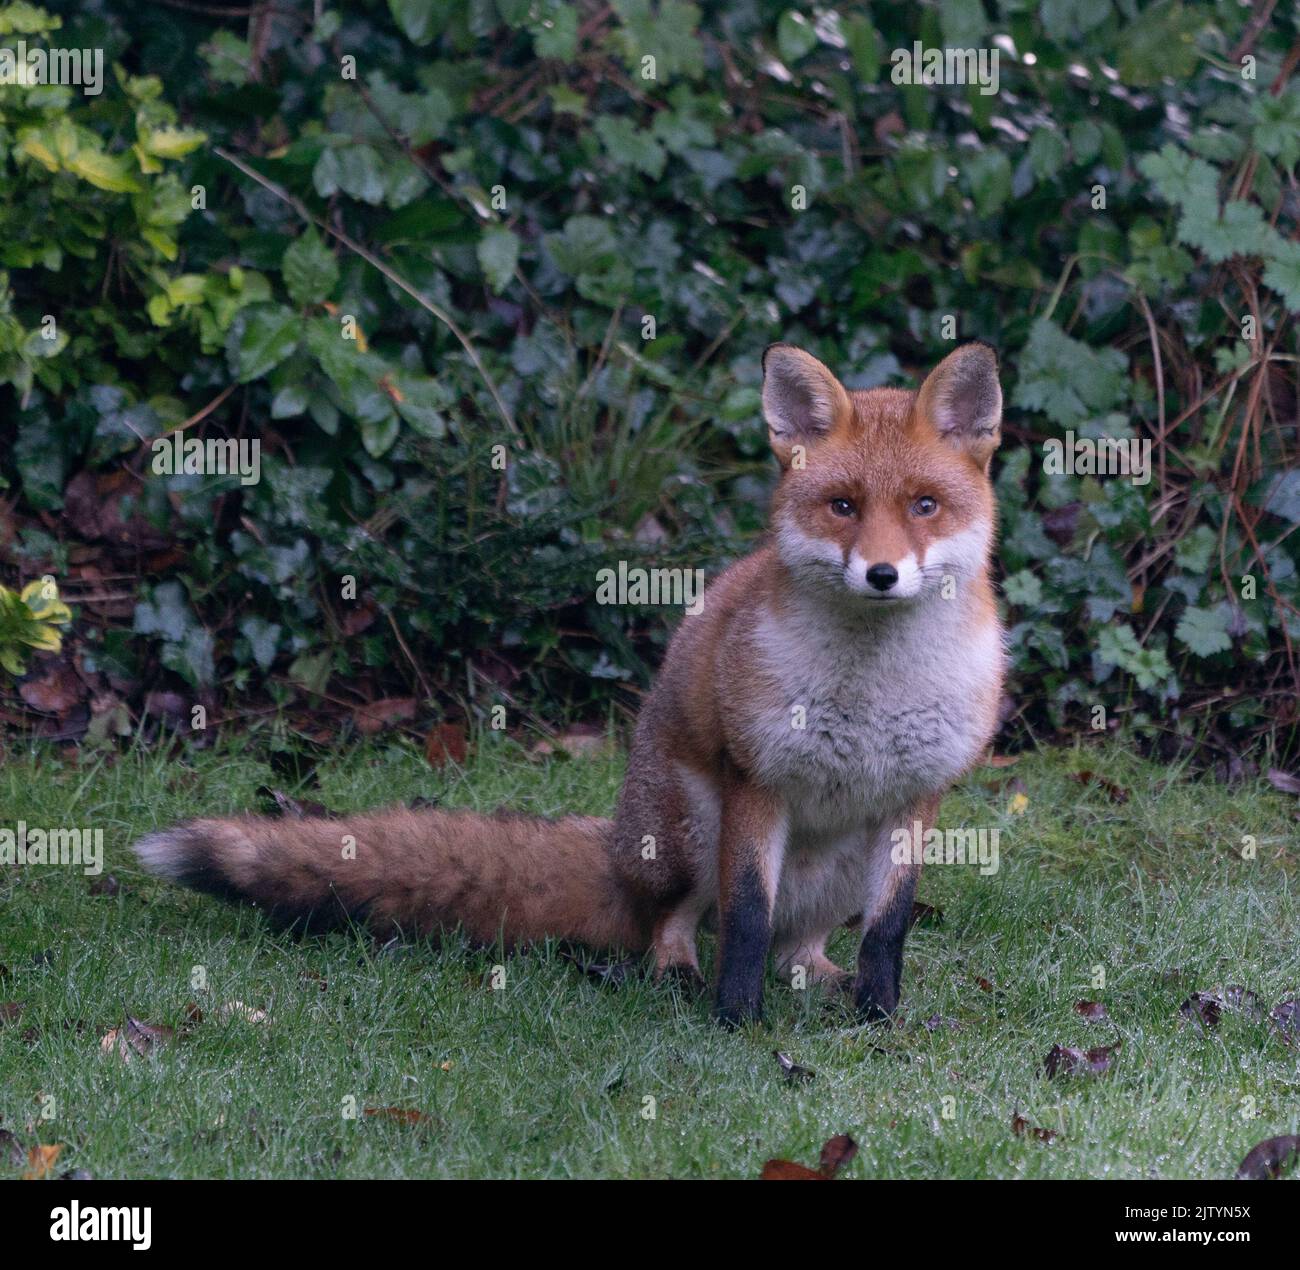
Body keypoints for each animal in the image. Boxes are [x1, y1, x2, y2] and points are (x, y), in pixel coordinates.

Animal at [134, 341, 1006, 1027]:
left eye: (925, 506)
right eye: (843, 506)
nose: (883, 574)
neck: (872, 694)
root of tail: (614, 844)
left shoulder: (915, 798)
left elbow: (886, 932)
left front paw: (880, 1017)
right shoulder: (755, 781)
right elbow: (747, 921)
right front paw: (736, 1021)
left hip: (836, 866)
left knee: (798, 946)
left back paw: (822, 982)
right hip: (689, 828)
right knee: (683, 921)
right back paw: (679, 975)